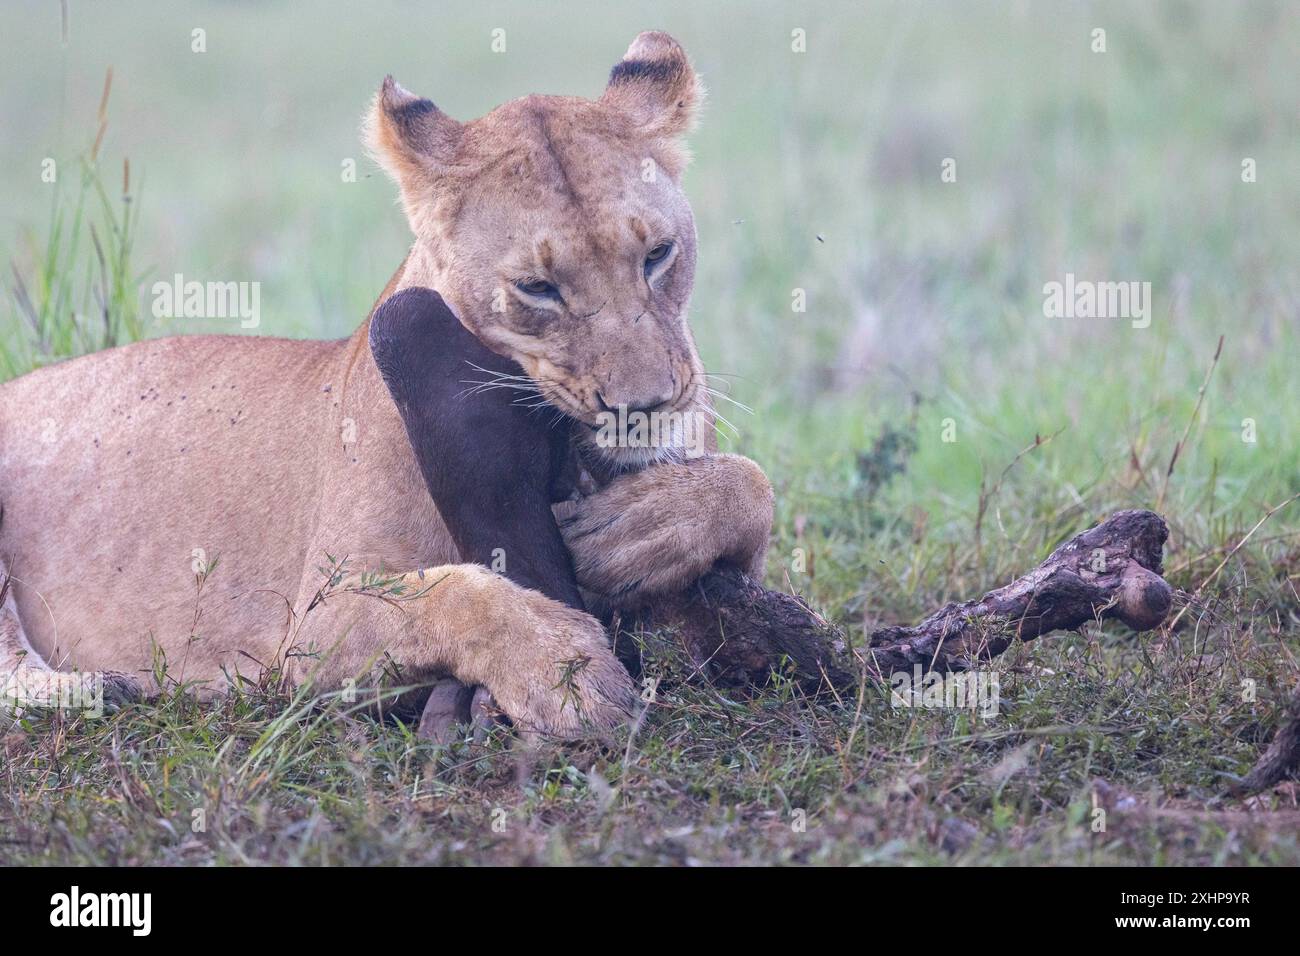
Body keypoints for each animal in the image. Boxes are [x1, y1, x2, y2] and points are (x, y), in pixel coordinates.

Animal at [0, 32, 774, 738]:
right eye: (537, 288)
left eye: (658, 255)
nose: (644, 407)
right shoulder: (312, 627)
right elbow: (457, 596)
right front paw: (567, 672)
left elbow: (753, 485)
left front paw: (634, 532)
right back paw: (100, 686)